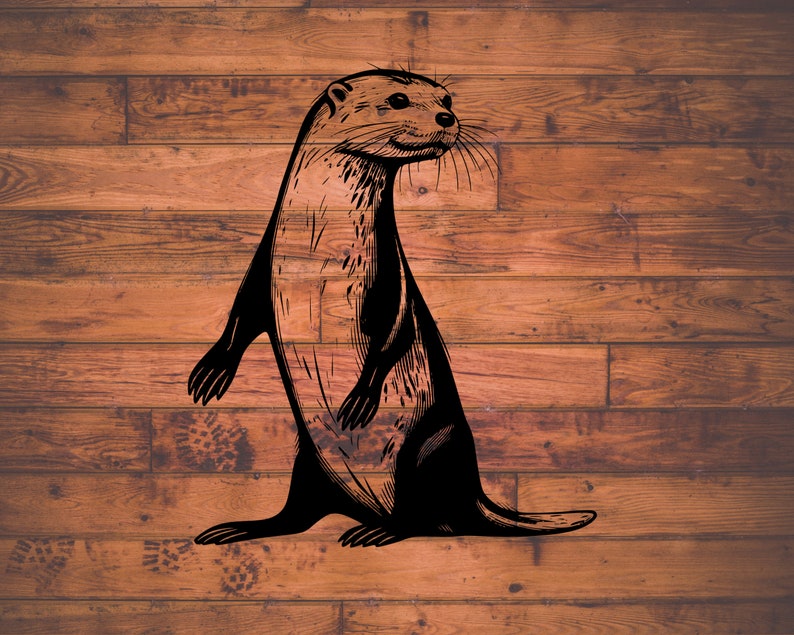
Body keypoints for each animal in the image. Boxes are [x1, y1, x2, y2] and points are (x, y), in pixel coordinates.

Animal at [188, 69, 595, 546]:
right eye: (398, 99)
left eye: (446, 98)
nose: (446, 117)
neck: (320, 248)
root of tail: (472, 496)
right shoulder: (265, 262)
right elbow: (242, 312)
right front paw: (213, 370)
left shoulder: (392, 275)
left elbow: (397, 328)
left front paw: (361, 397)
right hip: (309, 459)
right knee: (298, 512)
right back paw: (244, 527)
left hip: (426, 446)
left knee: (422, 517)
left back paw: (379, 532)